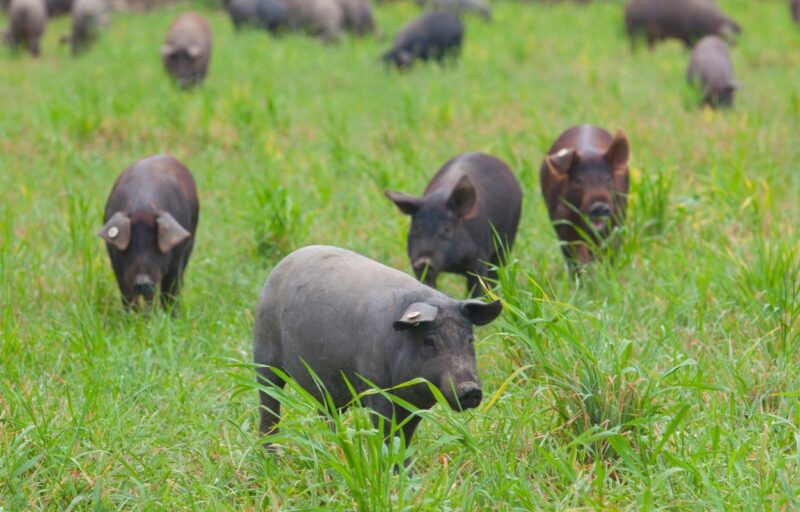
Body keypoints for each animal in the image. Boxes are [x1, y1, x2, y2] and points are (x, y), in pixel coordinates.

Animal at [98, 155, 199, 310]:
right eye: (130, 245)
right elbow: (127, 295)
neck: (143, 209)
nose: (142, 281)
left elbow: (169, 291)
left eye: (156, 245)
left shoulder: (176, 256)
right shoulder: (116, 262)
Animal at [253, 245, 502, 452]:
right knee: (268, 405)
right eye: (429, 341)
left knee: (326, 414)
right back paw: (272, 455)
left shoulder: (414, 405)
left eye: (470, 340)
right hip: (264, 354)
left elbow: (404, 438)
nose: (470, 389)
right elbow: (387, 434)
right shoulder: (377, 390)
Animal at [385, 153, 522, 297]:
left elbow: (479, 286)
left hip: (508, 239)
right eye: (416, 227)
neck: (452, 264)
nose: (423, 261)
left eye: (447, 229)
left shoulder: (479, 259)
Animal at [539, 125, 630, 267]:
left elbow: (608, 253)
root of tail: (586, 125)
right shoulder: (562, 224)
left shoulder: (616, 219)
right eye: (578, 180)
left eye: (608, 179)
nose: (599, 205)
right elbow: (575, 257)